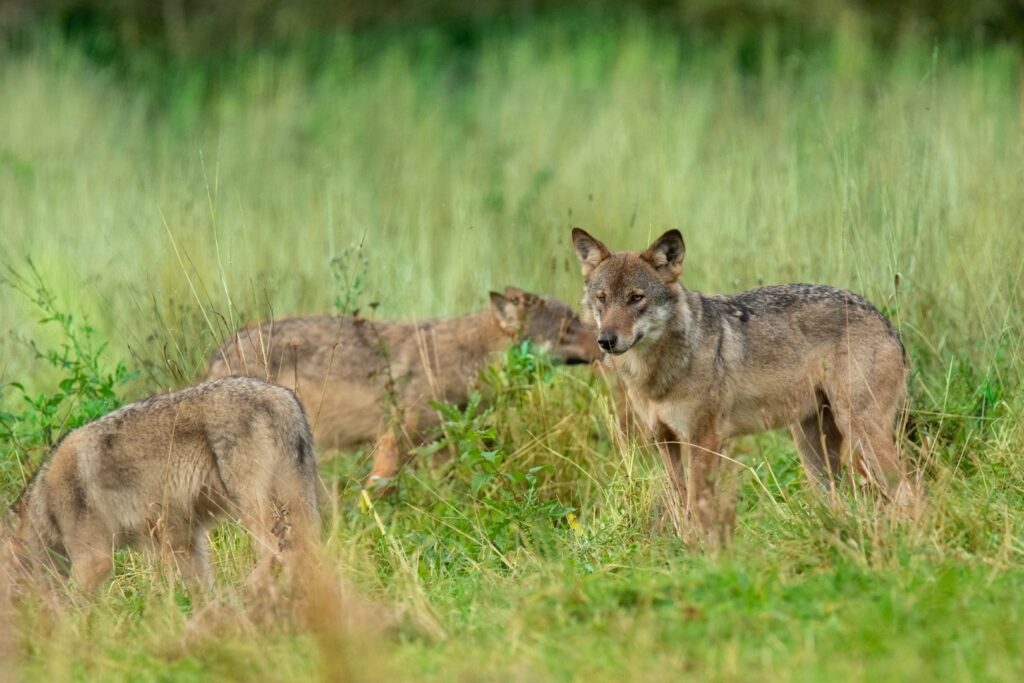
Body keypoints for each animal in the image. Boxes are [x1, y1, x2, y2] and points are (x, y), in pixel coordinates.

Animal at [3, 376, 320, 593]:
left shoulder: (94, 561)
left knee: (273, 552)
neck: (45, 505)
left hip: (252, 509)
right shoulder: (184, 541)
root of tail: (279, 394)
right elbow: (201, 591)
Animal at [206, 287, 601, 487]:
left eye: (579, 320)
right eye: (567, 329)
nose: (605, 343)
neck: (470, 357)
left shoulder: (439, 448)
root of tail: (220, 350)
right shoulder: (395, 441)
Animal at [571, 228, 915, 541]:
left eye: (636, 298)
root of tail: (887, 324)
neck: (658, 374)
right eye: (602, 299)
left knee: (911, 493)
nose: (606, 340)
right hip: (812, 446)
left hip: (859, 434)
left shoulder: (703, 440)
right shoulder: (664, 440)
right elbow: (680, 501)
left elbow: (699, 505)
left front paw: (703, 552)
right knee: (840, 502)